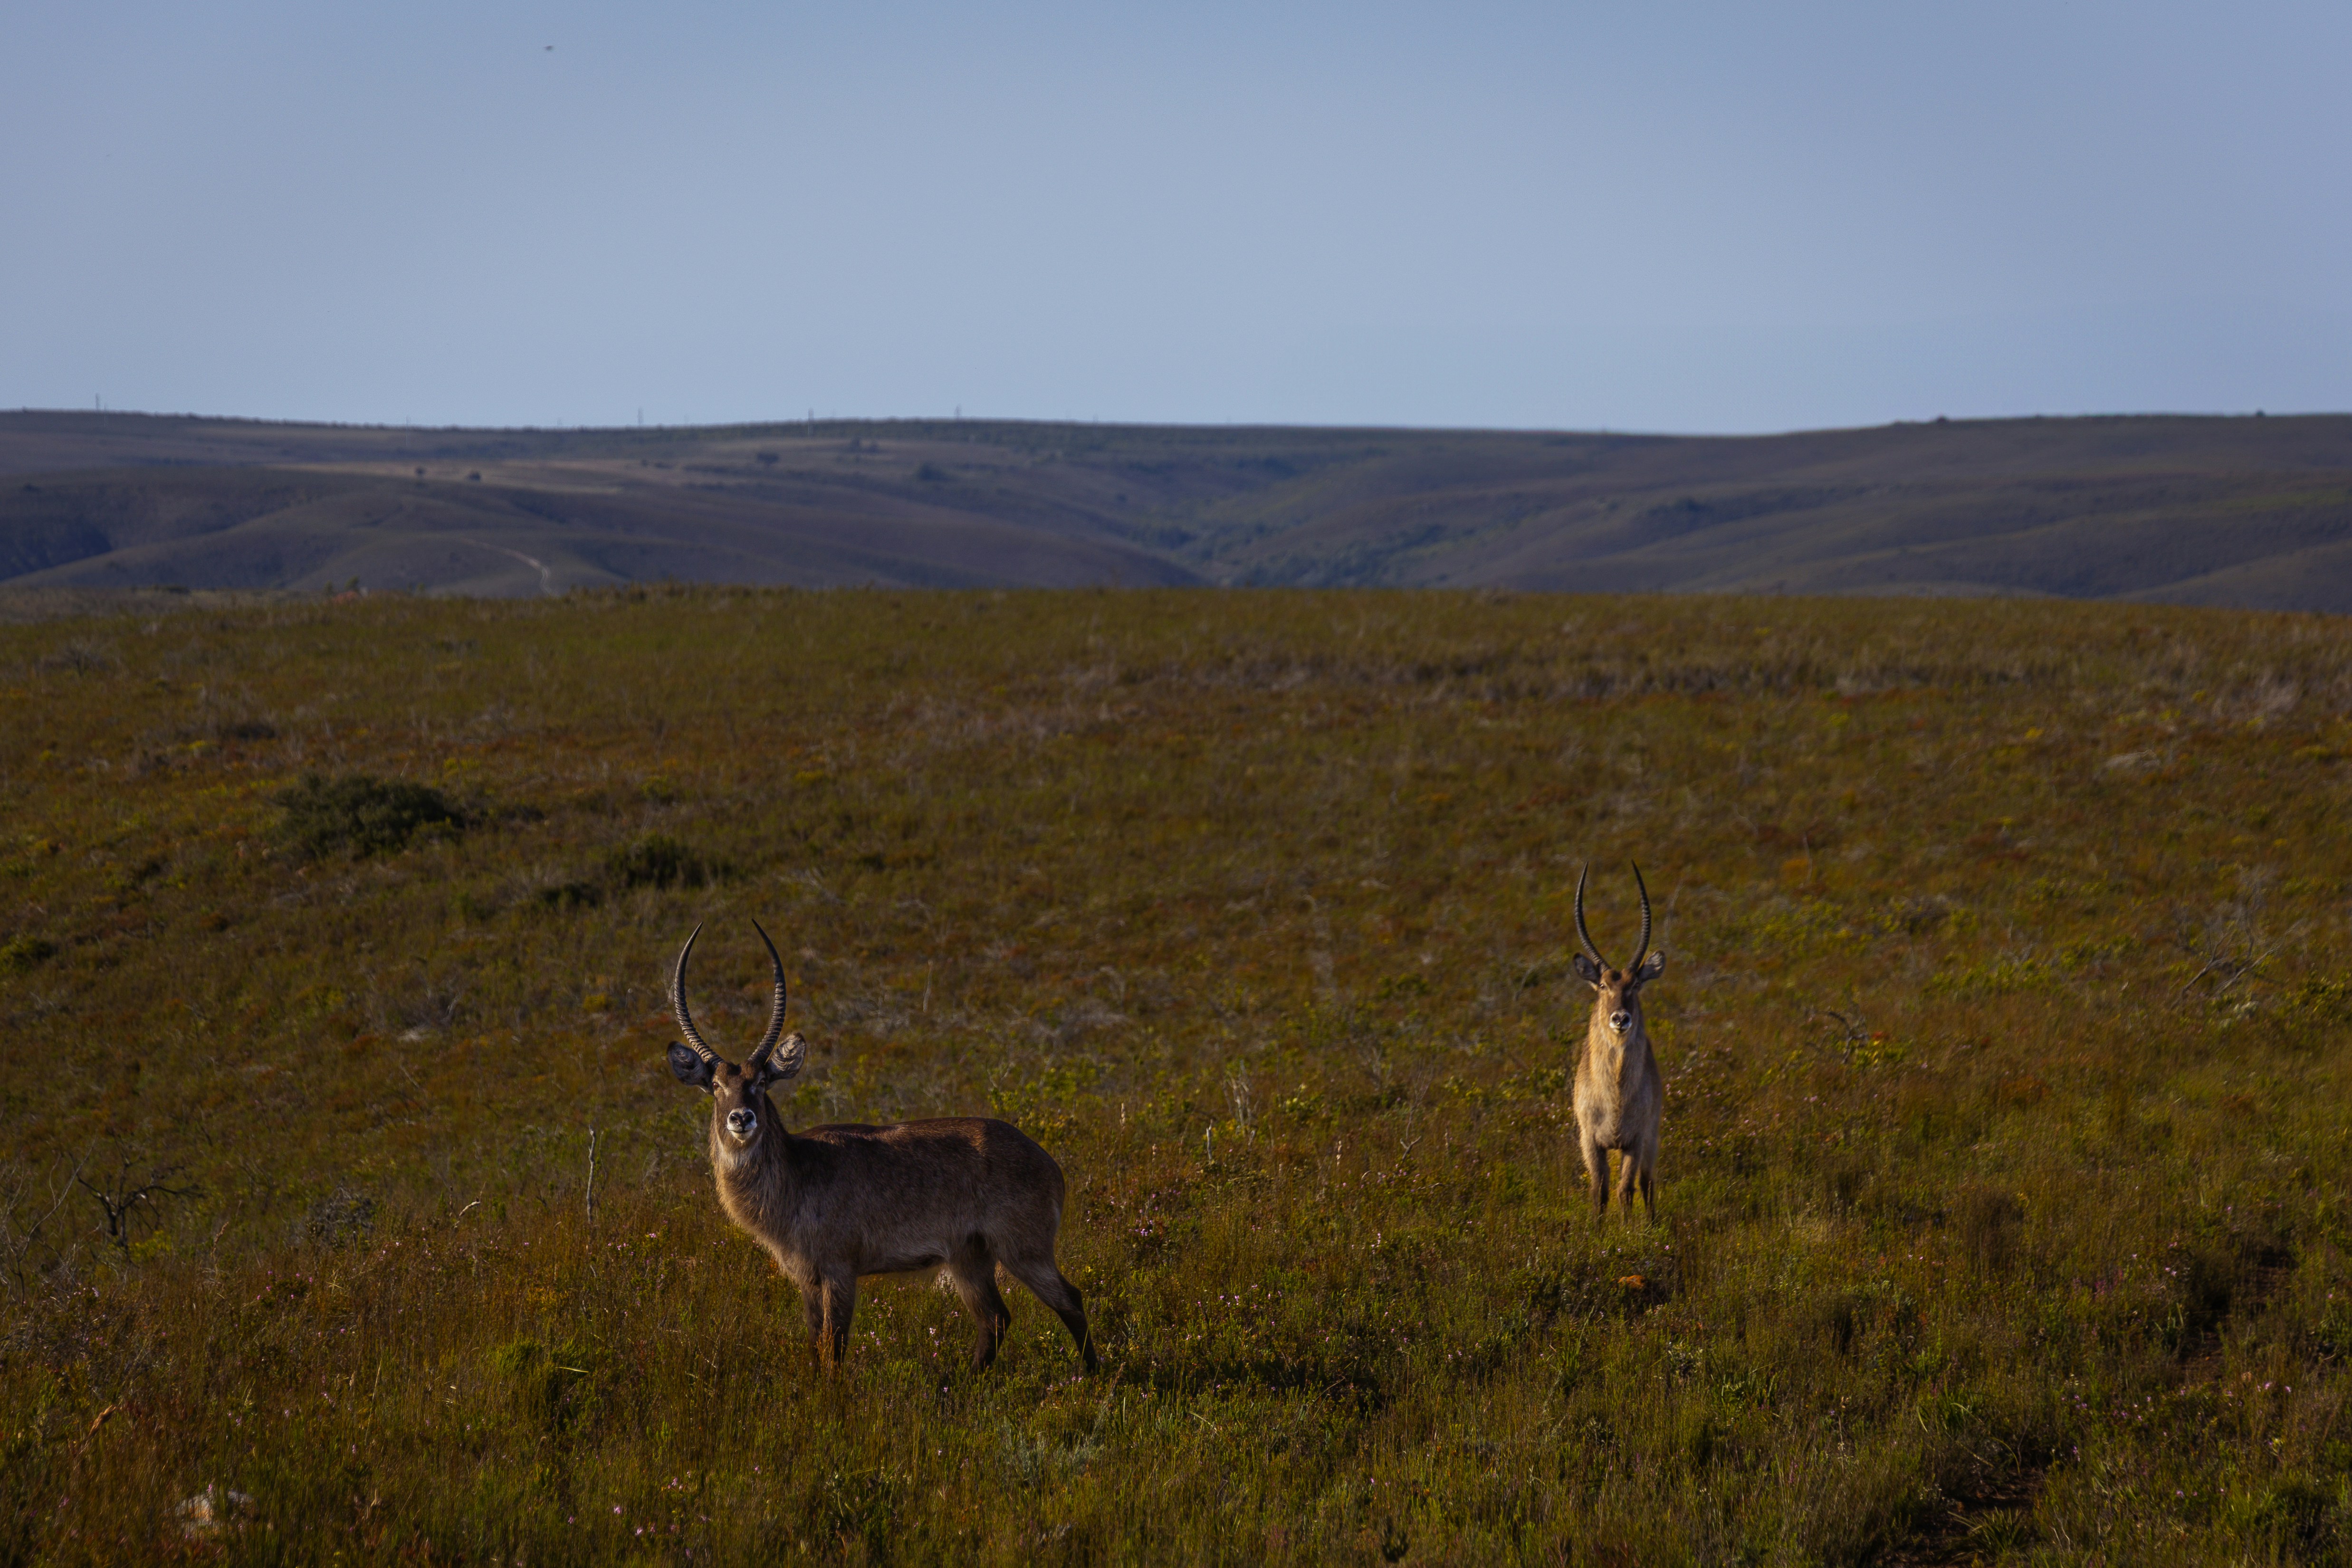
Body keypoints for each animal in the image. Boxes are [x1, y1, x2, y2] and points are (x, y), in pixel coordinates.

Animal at [663, 920, 1097, 1374]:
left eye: (762, 1082)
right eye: (715, 1086)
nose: (741, 1118)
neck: (796, 1174)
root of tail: (1048, 1162)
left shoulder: (840, 1269)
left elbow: (835, 1345)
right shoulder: (806, 1278)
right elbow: (815, 1343)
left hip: (1023, 1248)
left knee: (1069, 1300)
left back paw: (1092, 1376)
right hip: (970, 1258)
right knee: (995, 1318)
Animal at [1569, 863, 1666, 1222]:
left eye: (1635, 984)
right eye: (1602, 985)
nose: (1620, 1019)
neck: (1614, 1092)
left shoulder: (1635, 1142)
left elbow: (1626, 1190)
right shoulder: (1590, 1142)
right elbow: (1599, 1191)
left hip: (1652, 1139)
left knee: (1647, 1183)